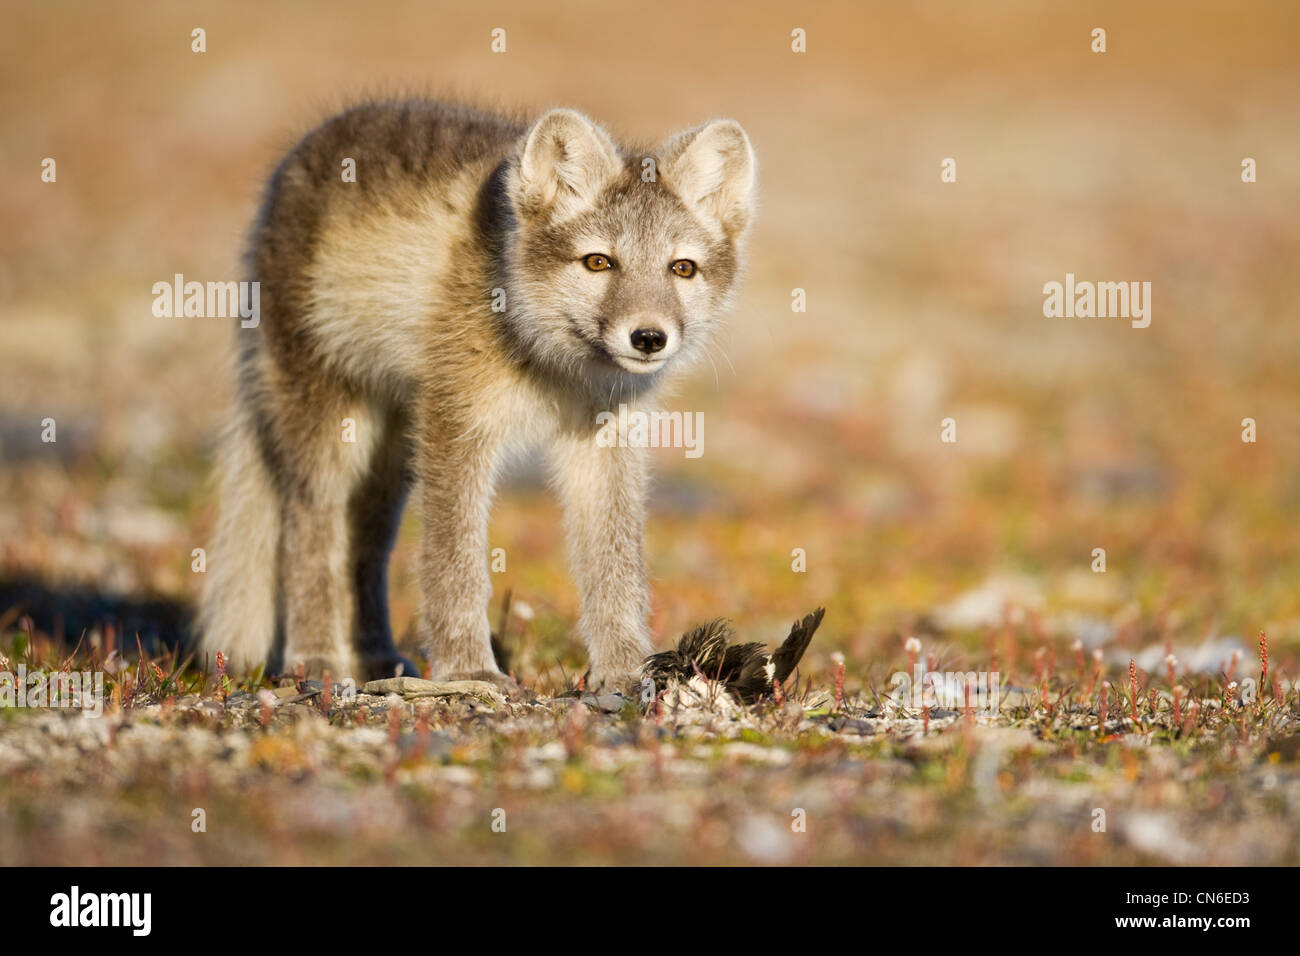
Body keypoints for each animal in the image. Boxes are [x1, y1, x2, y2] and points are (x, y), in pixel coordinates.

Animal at [196, 99, 756, 691]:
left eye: (682, 268)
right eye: (598, 262)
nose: (649, 338)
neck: (550, 364)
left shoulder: (602, 442)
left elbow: (616, 569)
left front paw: (626, 672)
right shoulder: (456, 424)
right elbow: (453, 564)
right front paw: (469, 669)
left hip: (390, 458)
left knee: (365, 550)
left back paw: (378, 658)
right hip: (329, 425)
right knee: (309, 532)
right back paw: (317, 660)